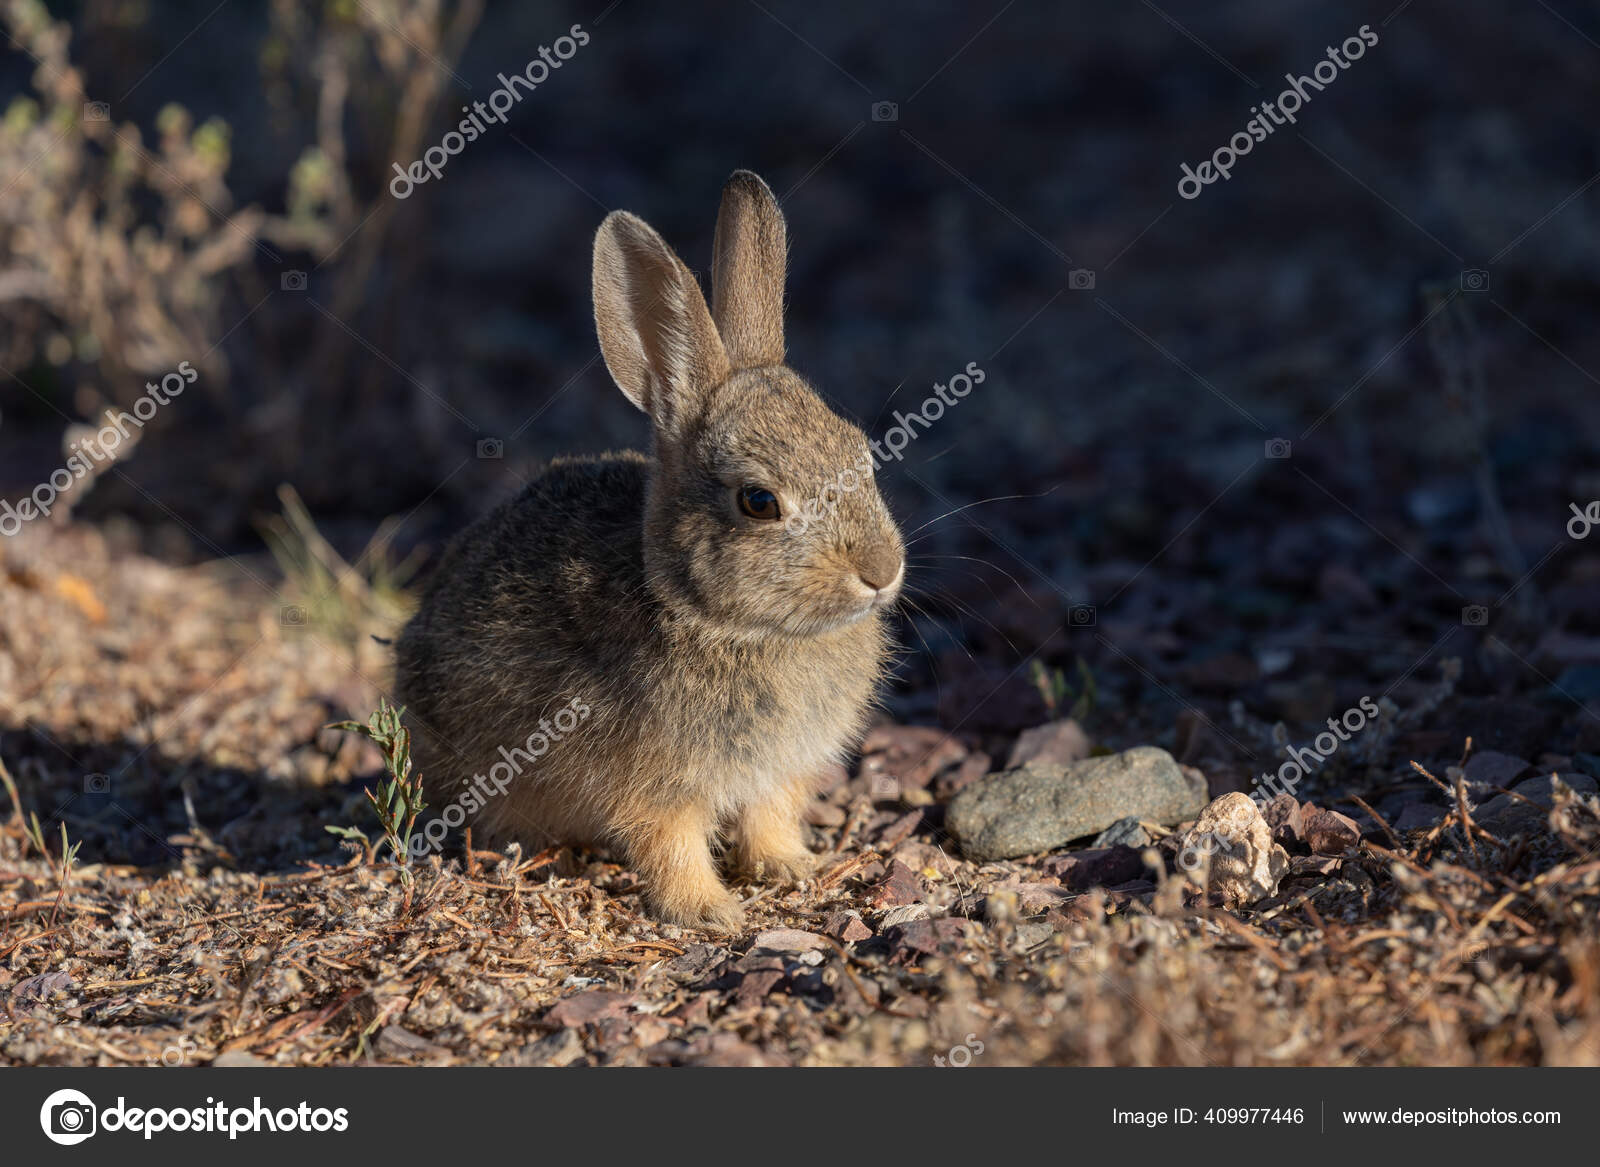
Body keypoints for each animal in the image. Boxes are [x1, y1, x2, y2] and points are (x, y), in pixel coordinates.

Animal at [393, 171, 905, 930]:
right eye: (759, 501)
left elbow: (769, 817)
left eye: (863, 454)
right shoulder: (651, 785)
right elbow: (669, 843)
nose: (880, 572)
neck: (726, 623)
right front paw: (711, 911)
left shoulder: (776, 773)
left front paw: (792, 867)